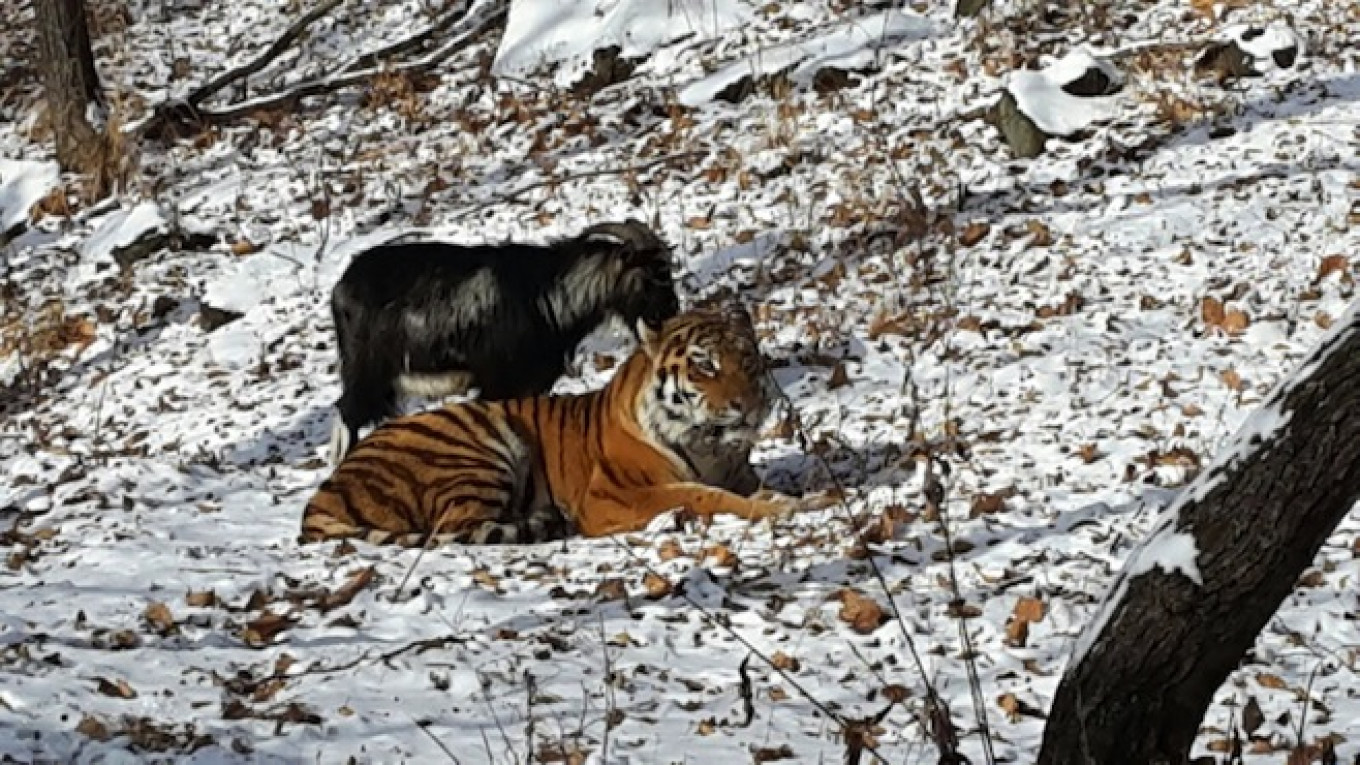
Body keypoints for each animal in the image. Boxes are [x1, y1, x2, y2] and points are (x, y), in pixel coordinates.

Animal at [300, 304, 810, 546]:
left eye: (747, 360)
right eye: (705, 365)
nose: (750, 405)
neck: (711, 446)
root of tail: (326, 490)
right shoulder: (611, 496)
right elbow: (701, 495)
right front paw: (781, 507)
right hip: (477, 446)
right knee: (459, 525)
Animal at [327, 219, 680, 463]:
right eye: (651, 275)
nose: (670, 313)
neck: (546, 295)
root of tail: (340, 288)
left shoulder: (531, 384)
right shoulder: (498, 383)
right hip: (367, 372)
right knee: (347, 413)